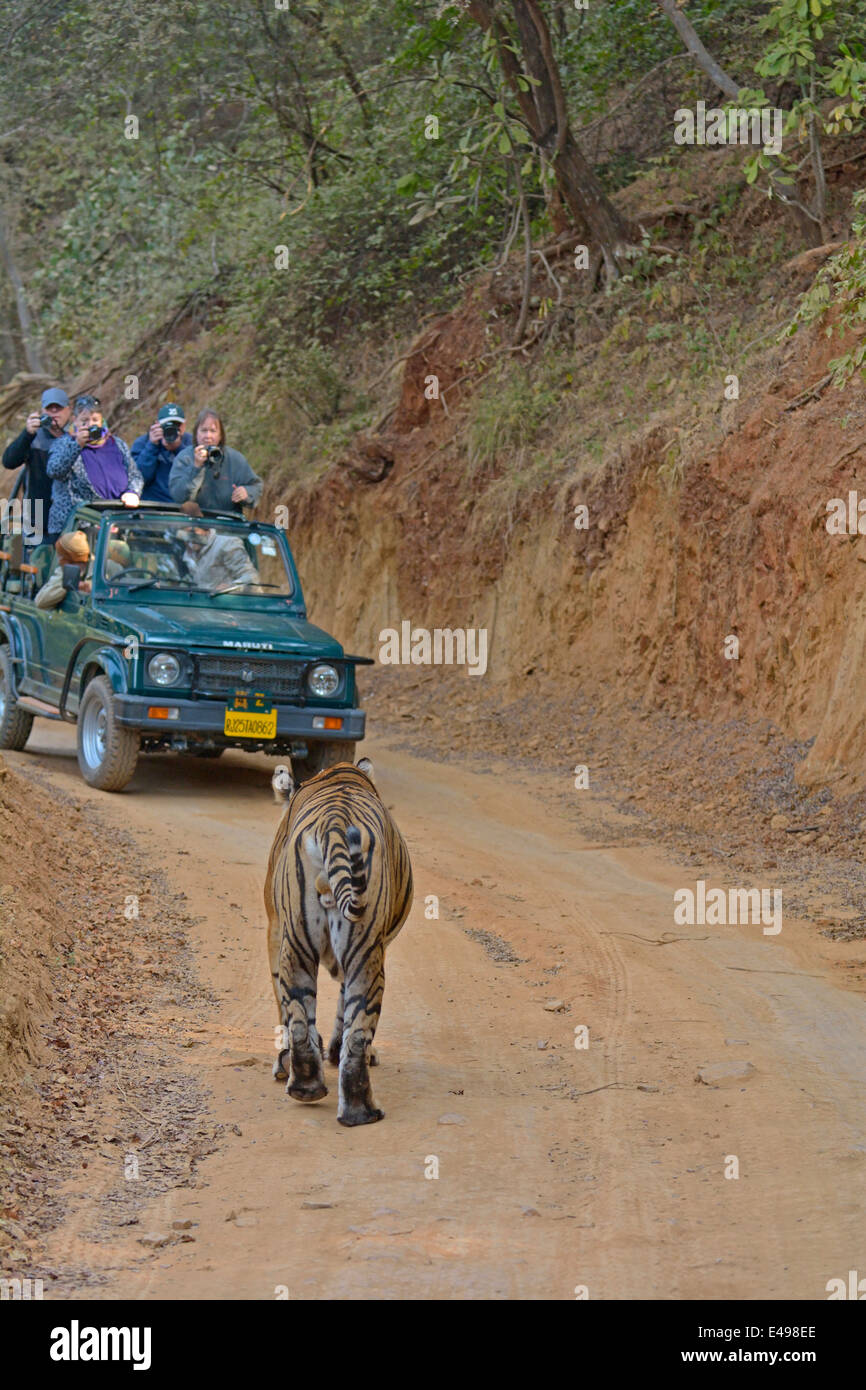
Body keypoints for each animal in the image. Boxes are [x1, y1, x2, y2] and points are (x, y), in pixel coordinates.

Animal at [264, 756, 413, 1126]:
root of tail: (334, 821)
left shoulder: (275, 929)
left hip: (299, 946)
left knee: (300, 1017)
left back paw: (307, 1086)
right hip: (364, 952)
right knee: (356, 1027)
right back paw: (359, 1111)